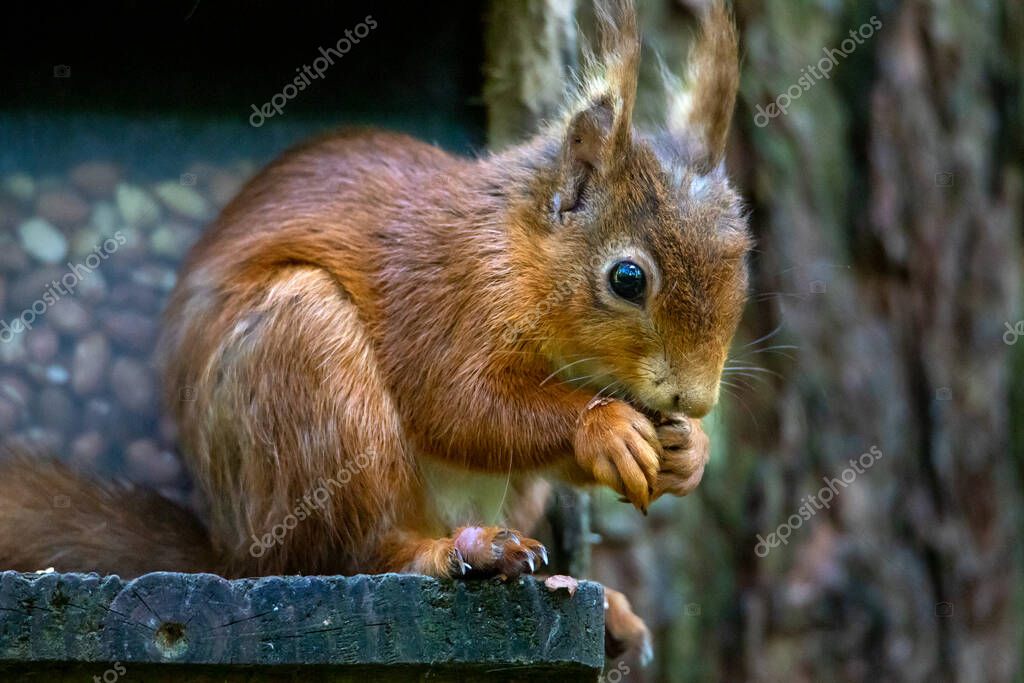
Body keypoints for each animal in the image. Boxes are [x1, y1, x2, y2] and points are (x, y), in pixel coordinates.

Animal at [0, 0, 747, 663]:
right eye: (628, 278)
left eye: (744, 263)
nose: (695, 399)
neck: (518, 253)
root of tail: (233, 552)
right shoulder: (442, 294)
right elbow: (457, 406)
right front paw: (605, 426)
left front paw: (693, 450)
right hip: (307, 363)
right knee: (353, 551)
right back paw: (455, 550)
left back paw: (603, 603)